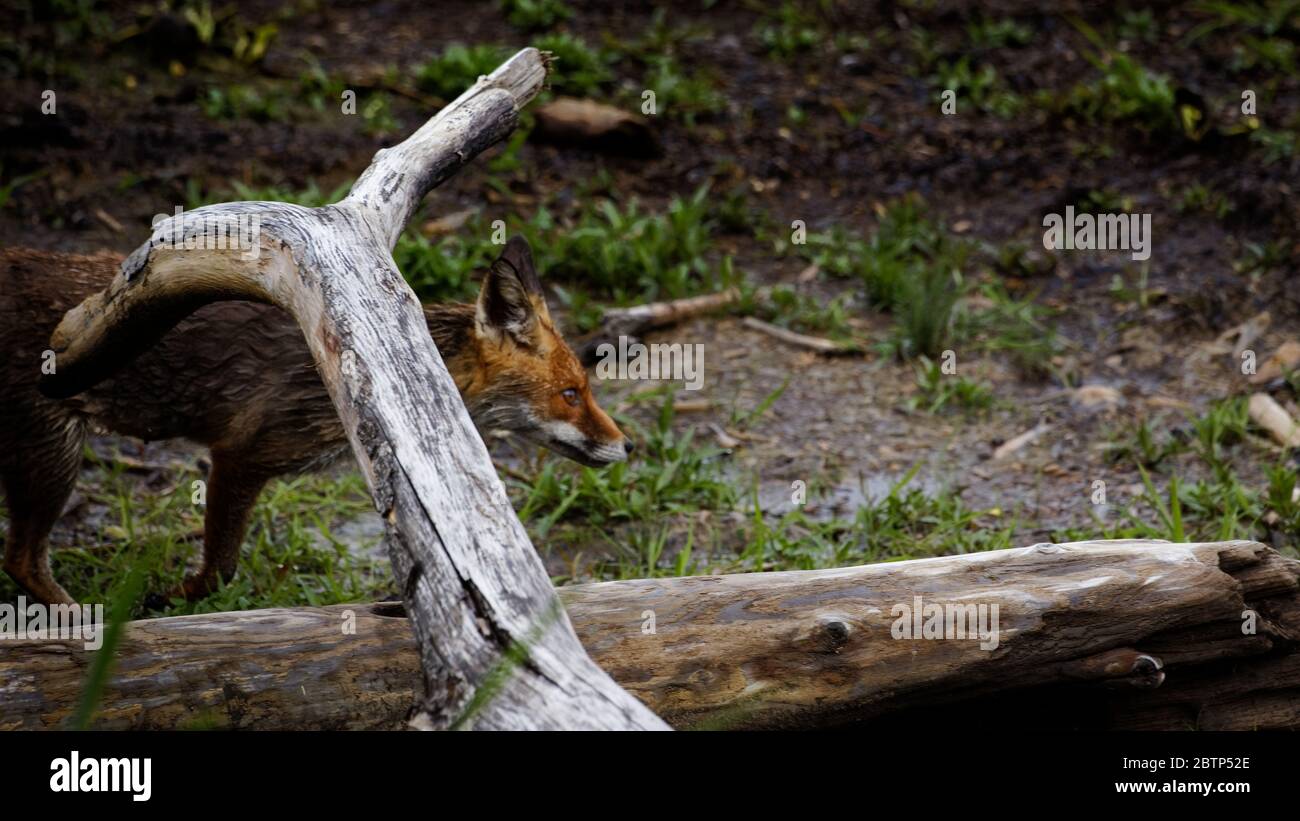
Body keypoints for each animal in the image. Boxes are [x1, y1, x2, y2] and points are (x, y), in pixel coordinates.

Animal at [0, 236, 631, 606]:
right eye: (571, 394)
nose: (627, 448)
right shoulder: (240, 456)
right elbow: (221, 569)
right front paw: (170, 599)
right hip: (56, 457)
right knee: (23, 563)